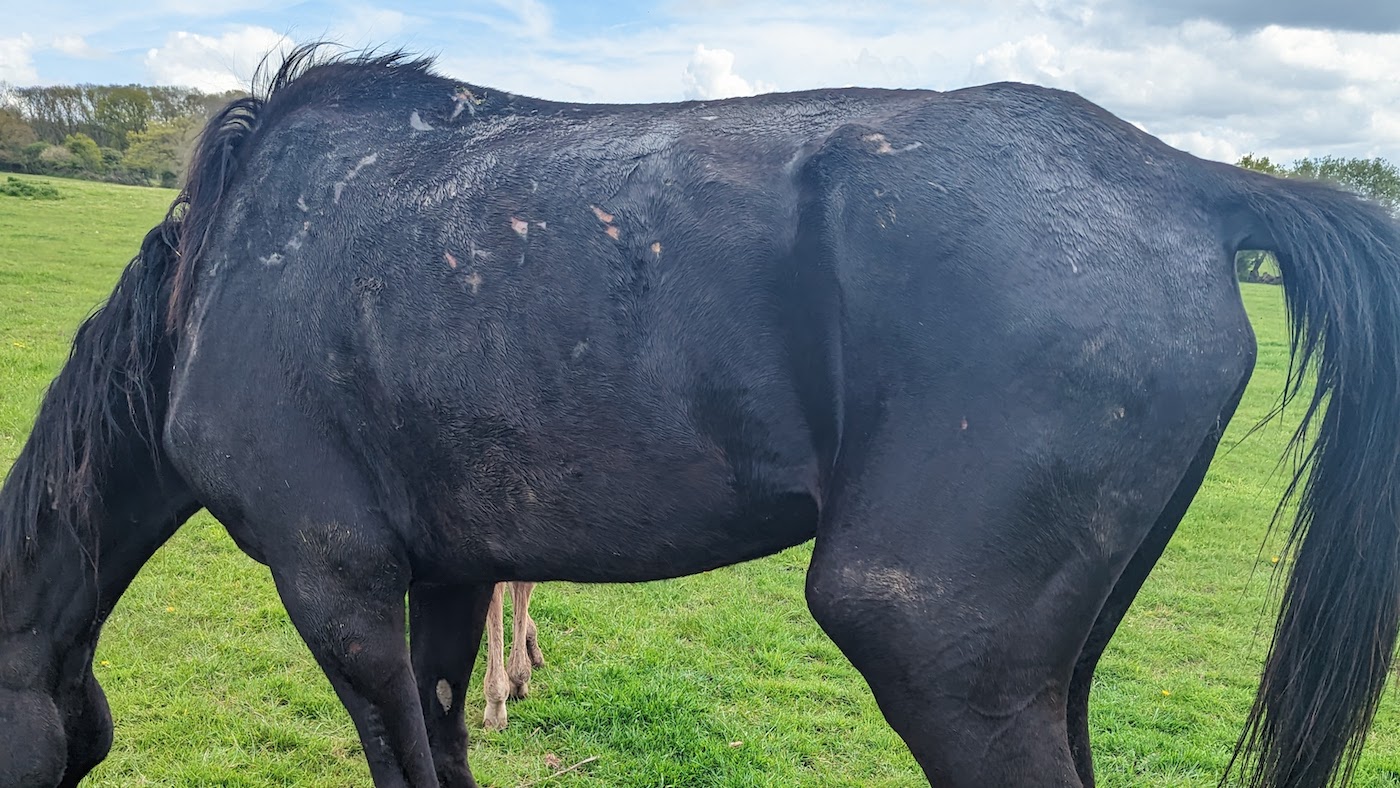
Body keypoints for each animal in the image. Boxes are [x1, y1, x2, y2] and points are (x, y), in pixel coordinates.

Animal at [2, 44, 1398, 788]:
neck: (215, 278)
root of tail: (1189, 181)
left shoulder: (332, 584)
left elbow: (401, 751)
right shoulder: (447, 574)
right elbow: (448, 739)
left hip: (937, 651)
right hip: (1060, 657)